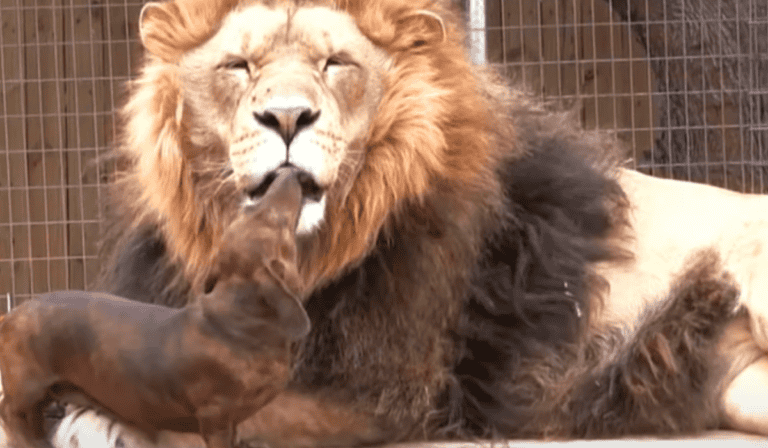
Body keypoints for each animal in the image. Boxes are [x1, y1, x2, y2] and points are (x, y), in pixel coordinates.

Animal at [7, 0, 768, 446]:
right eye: (239, 66)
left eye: (336, 64)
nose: (287, 117)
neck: (309, 250)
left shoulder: (393, 396)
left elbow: (247, 410)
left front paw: (104, 418)